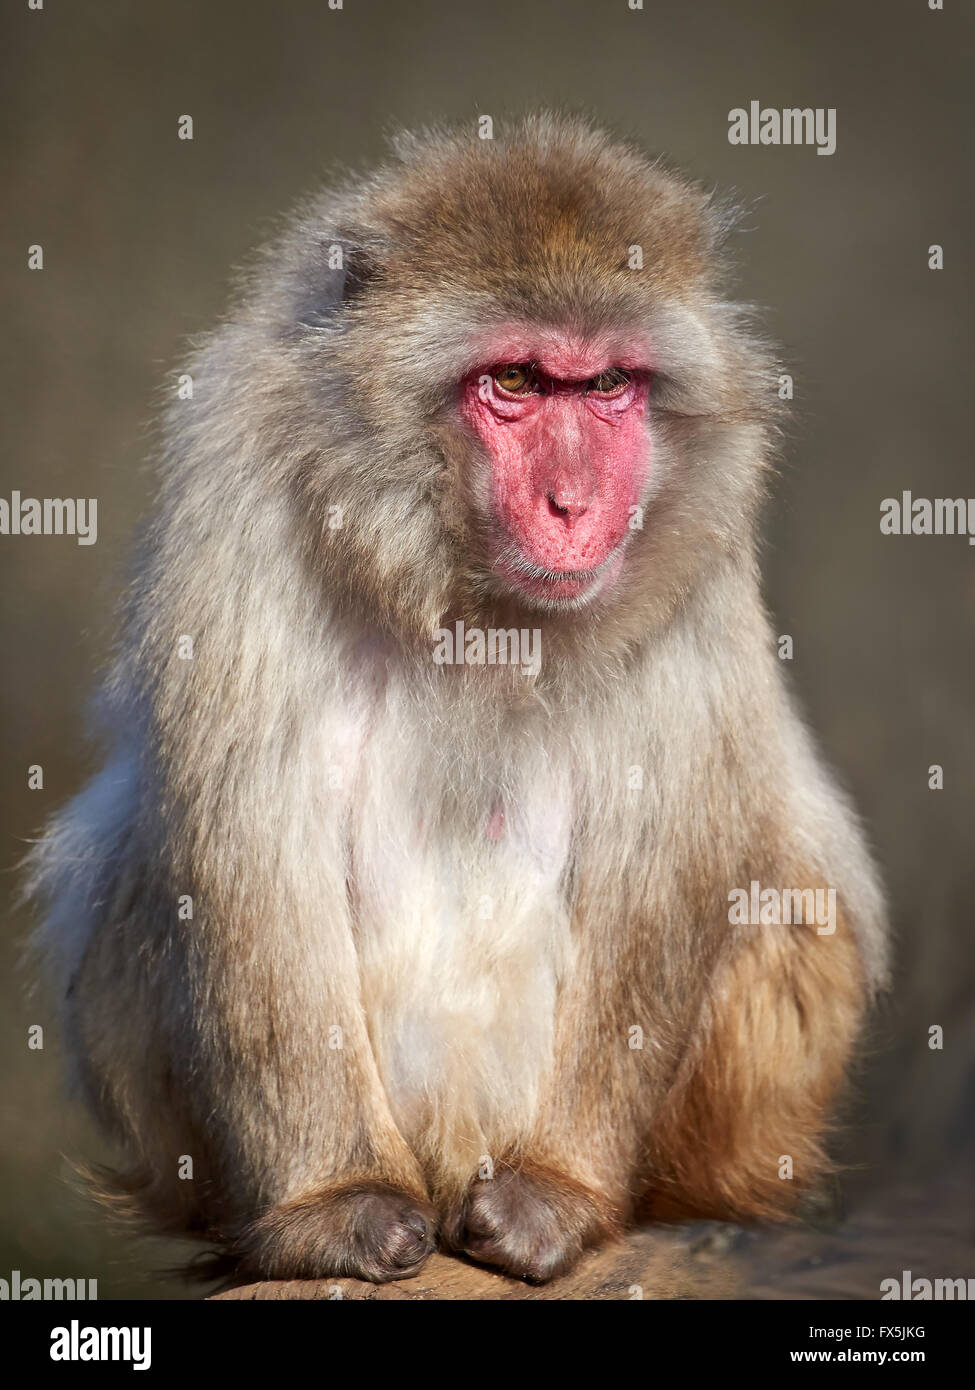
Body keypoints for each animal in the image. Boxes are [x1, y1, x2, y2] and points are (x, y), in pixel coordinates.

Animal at [27, 113, 888, 1287]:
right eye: (516, 380)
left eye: (609, 386)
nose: (574, 505)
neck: (467, 585)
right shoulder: (237, 481)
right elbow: (247, 839)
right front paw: (331, 1201)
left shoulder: (700, 538)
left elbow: (669, 846)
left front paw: (558, 1193)